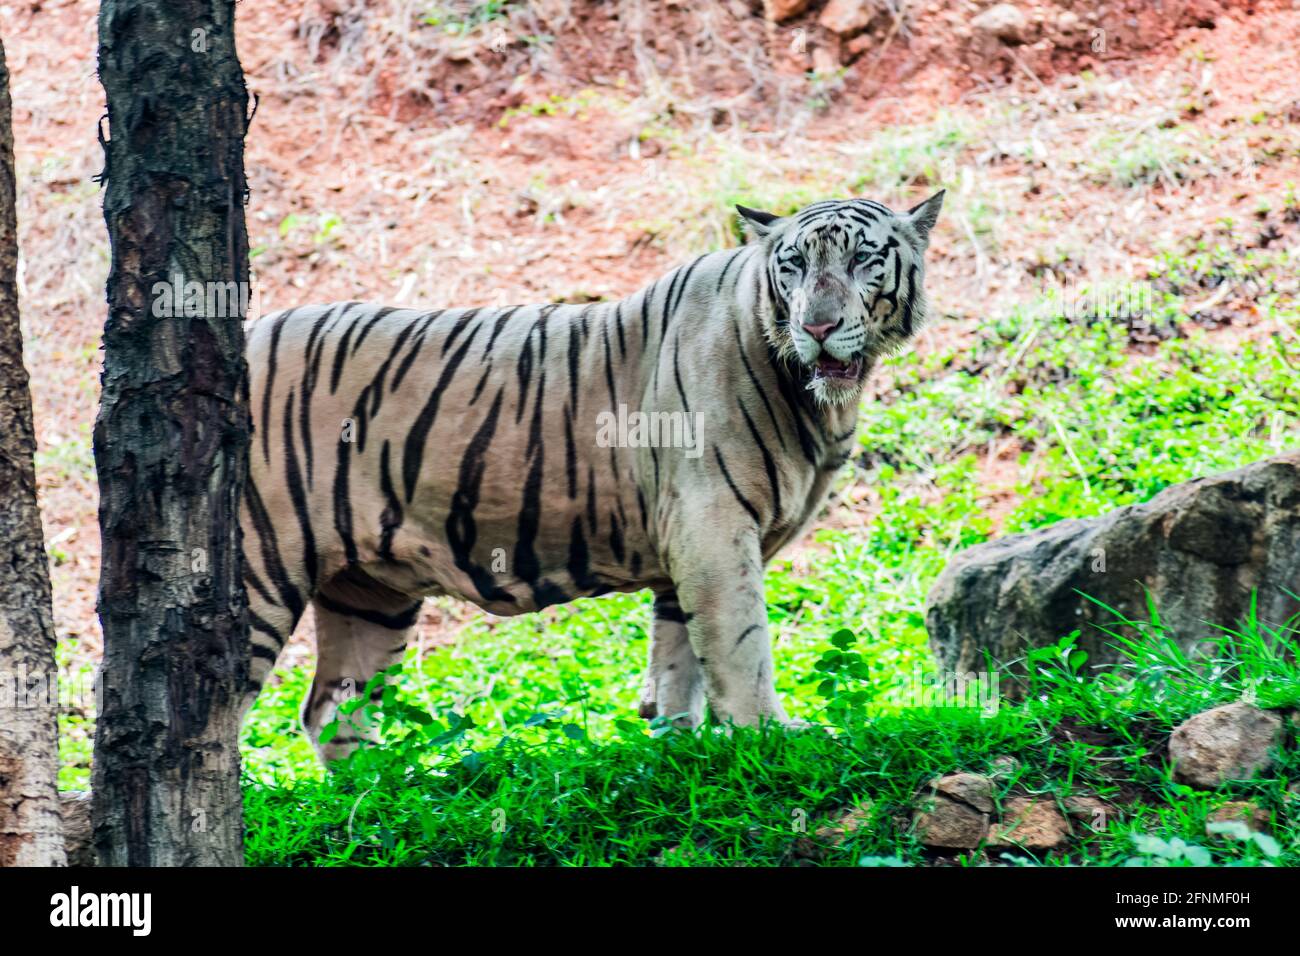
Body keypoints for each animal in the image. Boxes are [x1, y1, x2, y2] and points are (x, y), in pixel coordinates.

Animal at [240, 190, 945, 761]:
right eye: (793, 265)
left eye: (862, 260)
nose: (816, 326)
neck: (818, 400)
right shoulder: (712, 525)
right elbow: (740, 642)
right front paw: (767, 735)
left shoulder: (685, 543)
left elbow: (679, 661)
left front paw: (677, 749)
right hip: (259, 570)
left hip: (369, 591)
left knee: (332, 711)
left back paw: (386, 795)